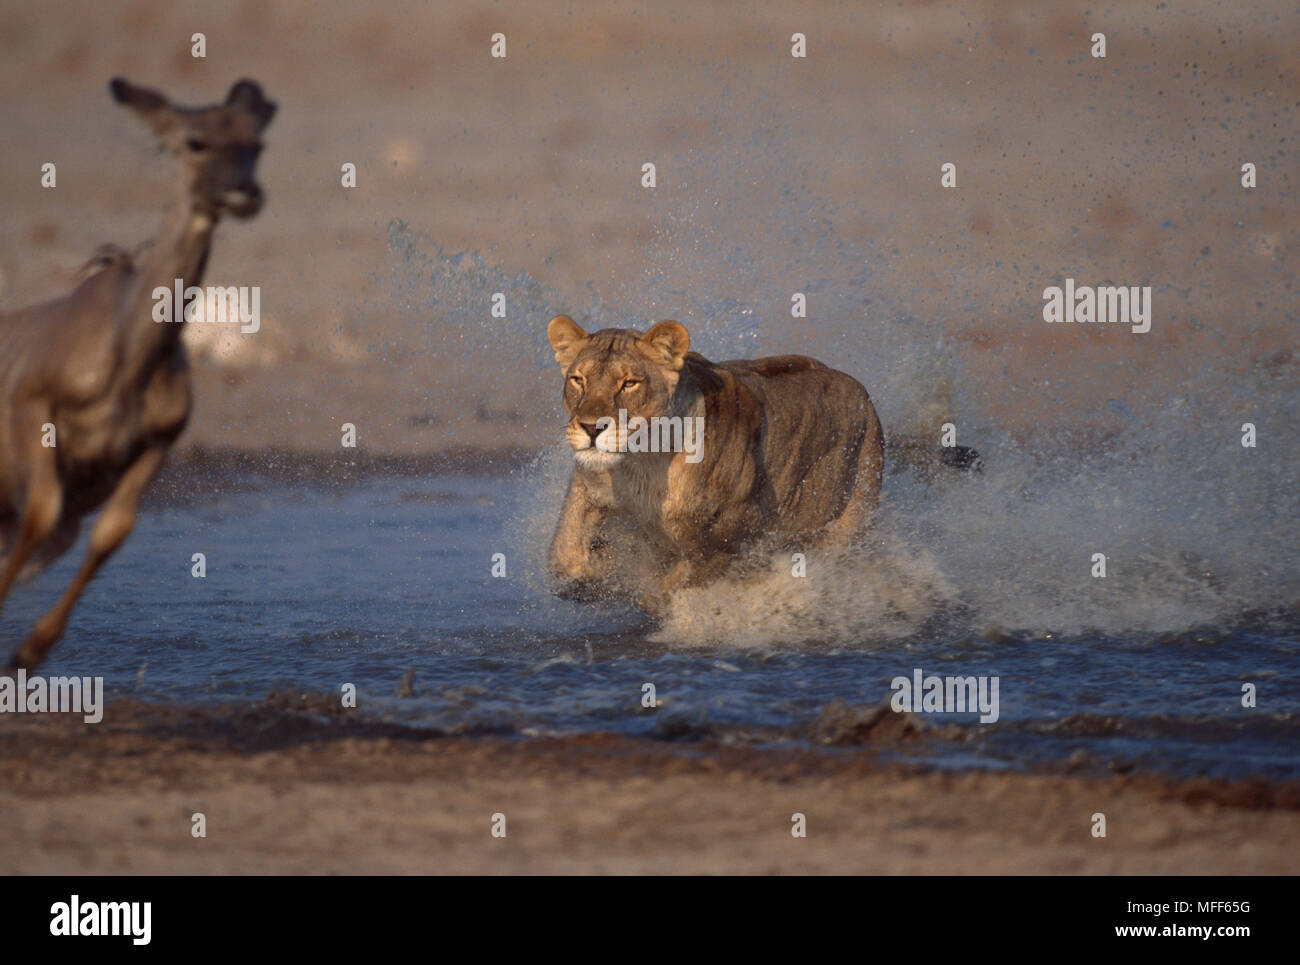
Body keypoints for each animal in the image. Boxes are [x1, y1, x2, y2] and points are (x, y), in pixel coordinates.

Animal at [545, 314, 885, 612]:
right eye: (578, 380)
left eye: (629, 383)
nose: (591, 428)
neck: (641, 462)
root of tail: (862, 393)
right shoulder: (590, 482)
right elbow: (564, 558)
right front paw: (597, 570)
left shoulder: (733, 535)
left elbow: (672, 585)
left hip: (844, 525)